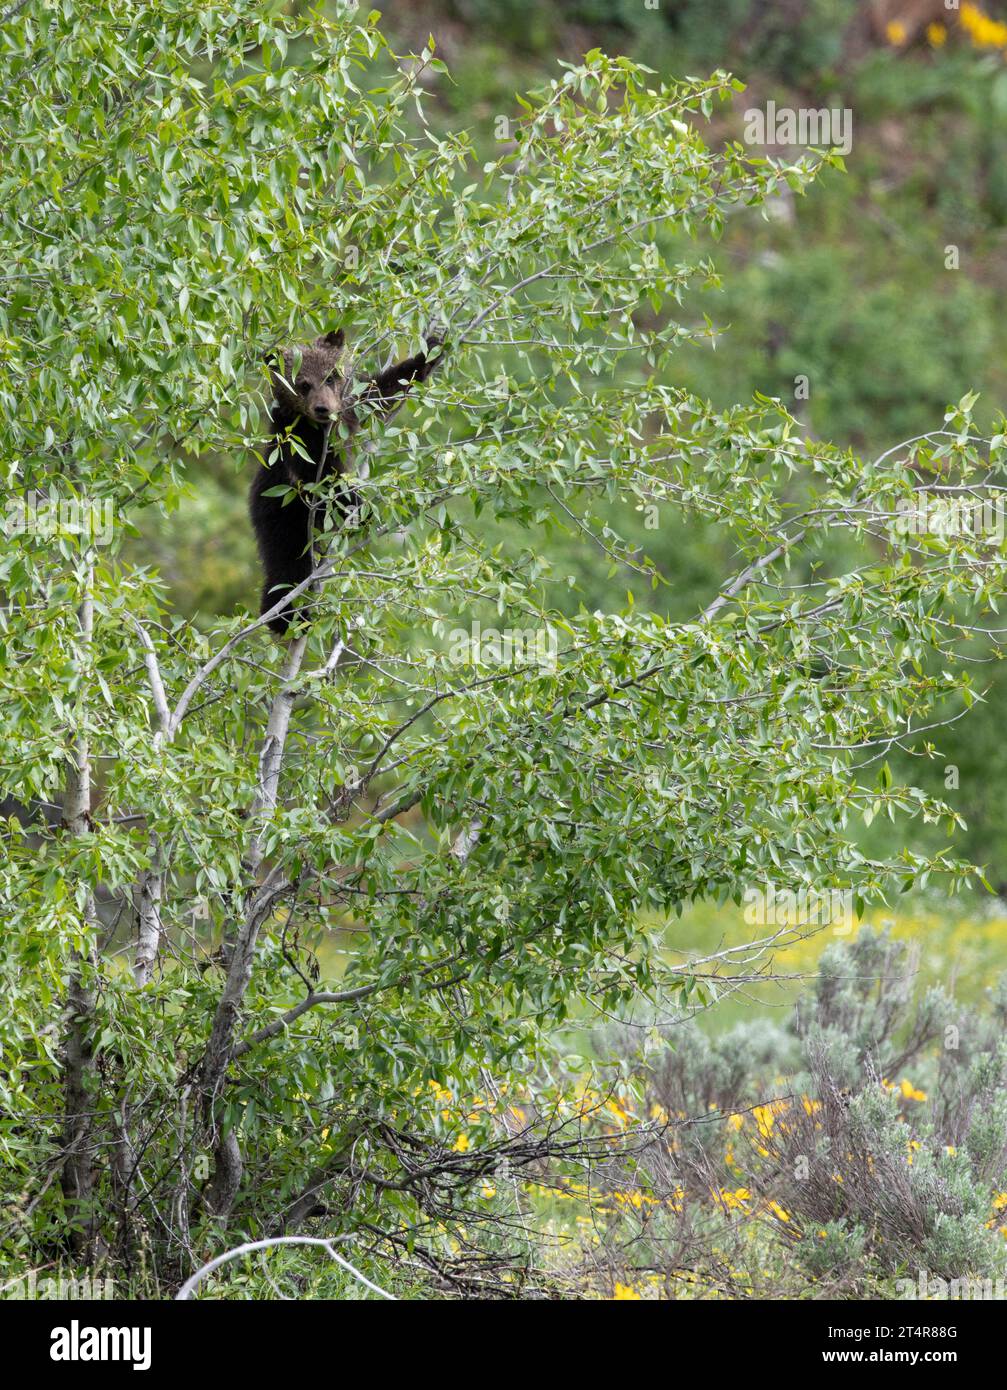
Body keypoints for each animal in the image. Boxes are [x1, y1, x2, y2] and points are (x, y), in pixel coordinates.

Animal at [249, 326, 443, 635]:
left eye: (330, 376)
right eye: (302, 384)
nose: (322, 408)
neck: (323, 426)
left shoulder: (352, 406)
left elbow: (384, 390)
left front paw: (430, 350)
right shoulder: (296, 440)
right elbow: (321, 477)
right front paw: (357, 505)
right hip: (282, 512)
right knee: (287, 563)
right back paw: (286, 616)